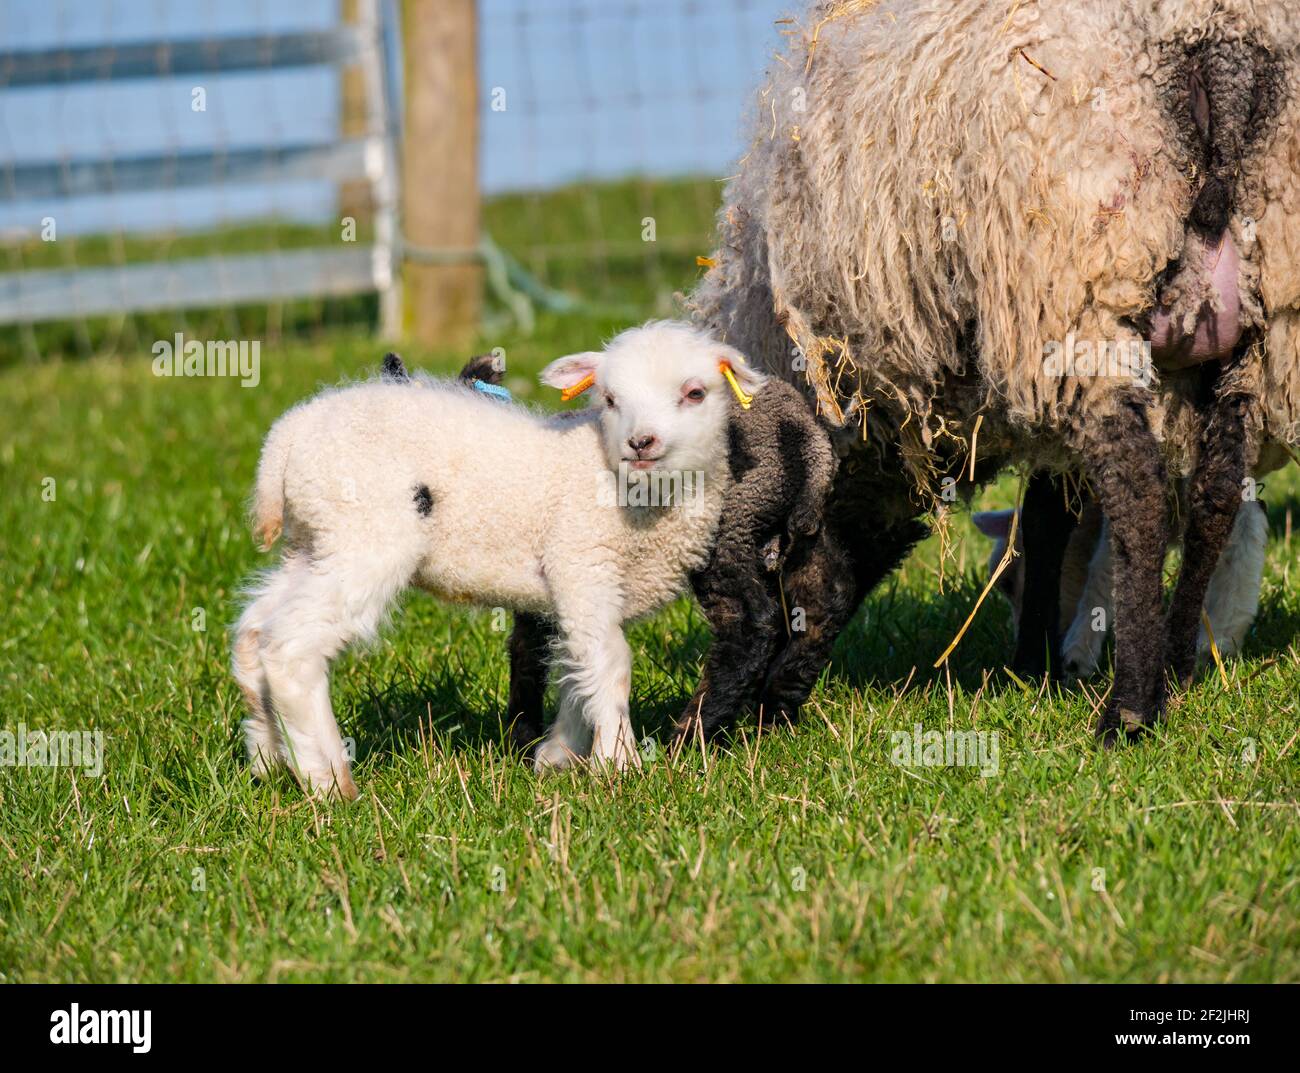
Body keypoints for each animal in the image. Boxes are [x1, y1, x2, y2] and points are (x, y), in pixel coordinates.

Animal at [231, 321, 769, 798]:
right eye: (610, 399)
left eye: (695, 393)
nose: (640, 443)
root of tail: (287, 439)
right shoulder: (582, 562)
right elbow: (611, 664)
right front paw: (619, 764)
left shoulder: (584, 587)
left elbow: (579, 665)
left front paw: (557, 756)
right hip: (364, 538)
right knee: (291, 647)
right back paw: (326, 781)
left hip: (313, 543)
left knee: (255, 631)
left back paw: (268, 758)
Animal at [689, 0, 1300, 742]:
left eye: (758, 581)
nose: (705, 732)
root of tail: (1224, 41)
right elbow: (1051, 516)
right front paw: (1041, 659)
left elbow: (1043, 523)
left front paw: (1035, 659)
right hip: (1256, 325)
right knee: (1215, 498)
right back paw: (1178, 669)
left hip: (1073, 293)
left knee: (1141, 494)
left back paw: (1127, 710)